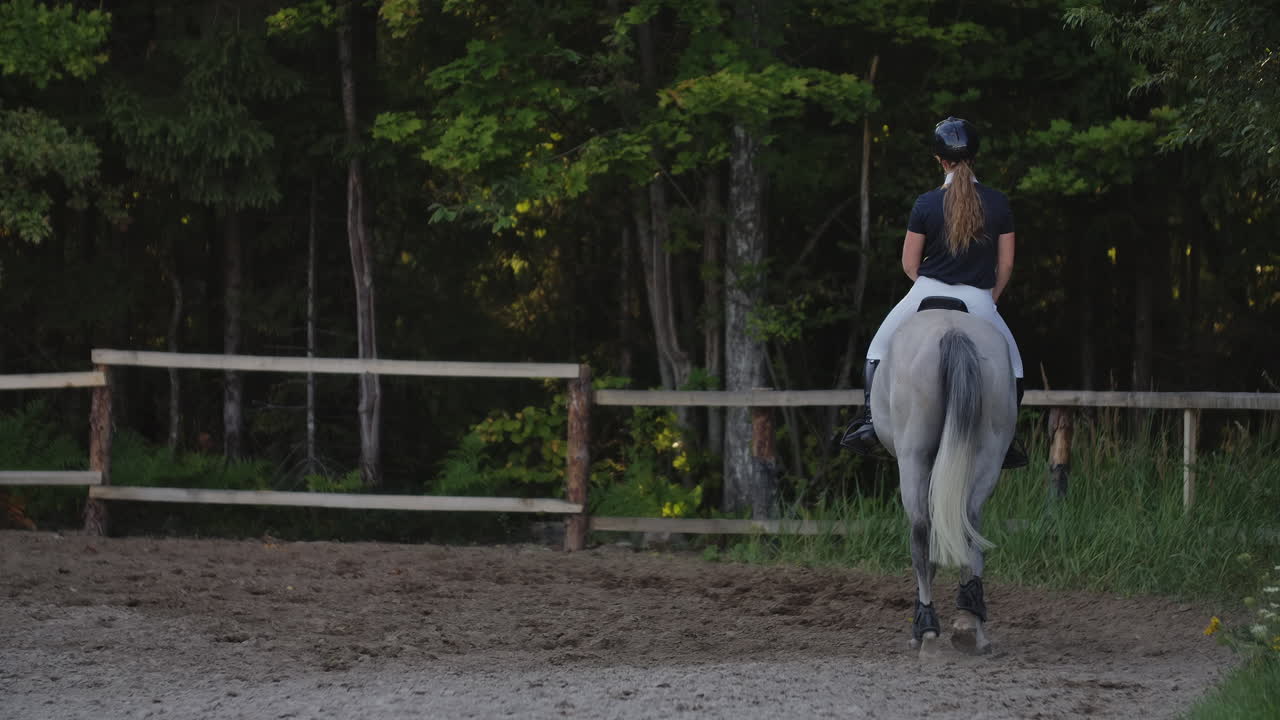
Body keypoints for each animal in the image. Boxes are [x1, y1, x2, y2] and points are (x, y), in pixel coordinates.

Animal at [872, 299, 1017, 656]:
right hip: (988, 450)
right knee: (969, 522)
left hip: (914, 456)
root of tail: (954, 330)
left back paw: (925, 628)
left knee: (920, 530)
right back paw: (970, 626)